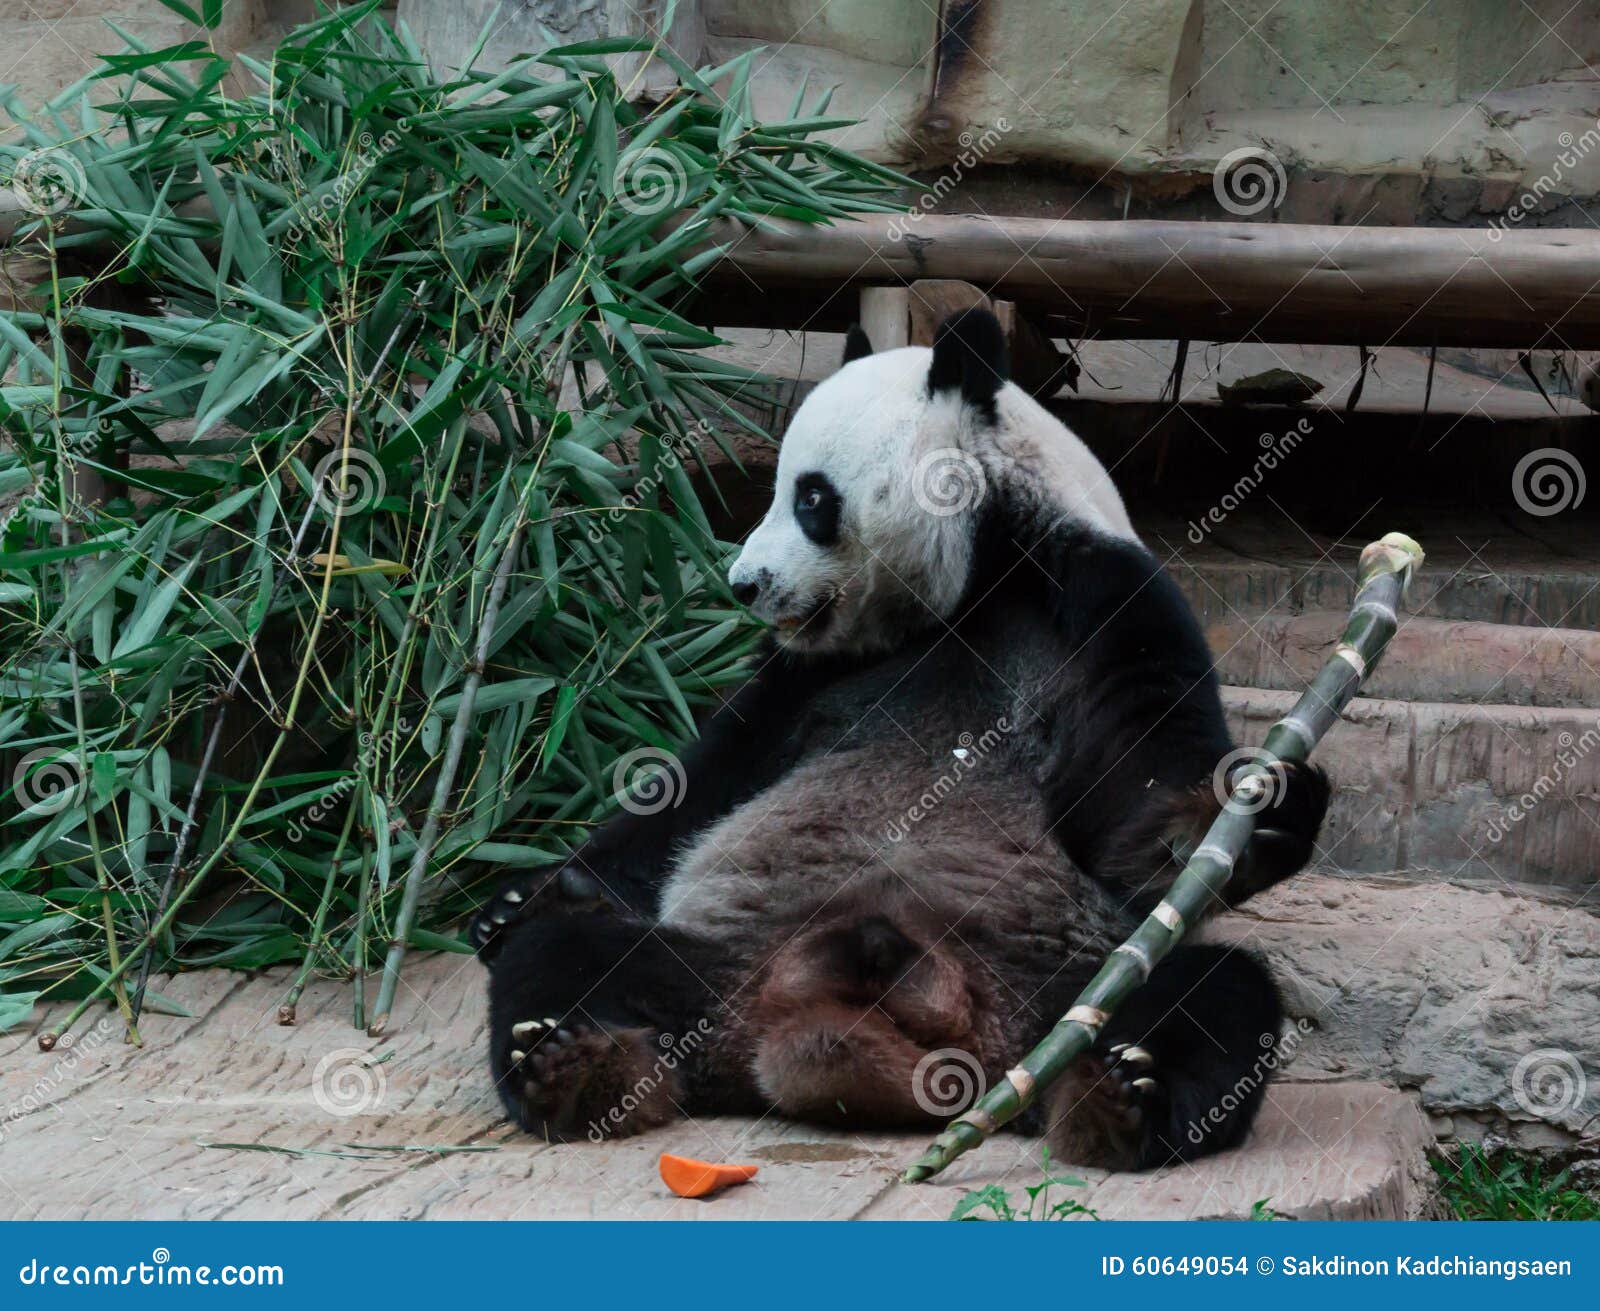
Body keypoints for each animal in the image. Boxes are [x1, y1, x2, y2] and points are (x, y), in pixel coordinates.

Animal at [470, 310, 1329, 1170]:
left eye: (811, 496)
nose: (745, 583)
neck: (978, 579)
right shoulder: (809, 673)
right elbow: (705, 782)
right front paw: (518, 897)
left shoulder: (1106, 601)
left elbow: (1135, 814)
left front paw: (1255, 813)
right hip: (710, 965)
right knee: (560, 960)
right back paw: (577, 1066)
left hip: (1070, 984)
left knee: (1216, 995)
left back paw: (1120, 1102)